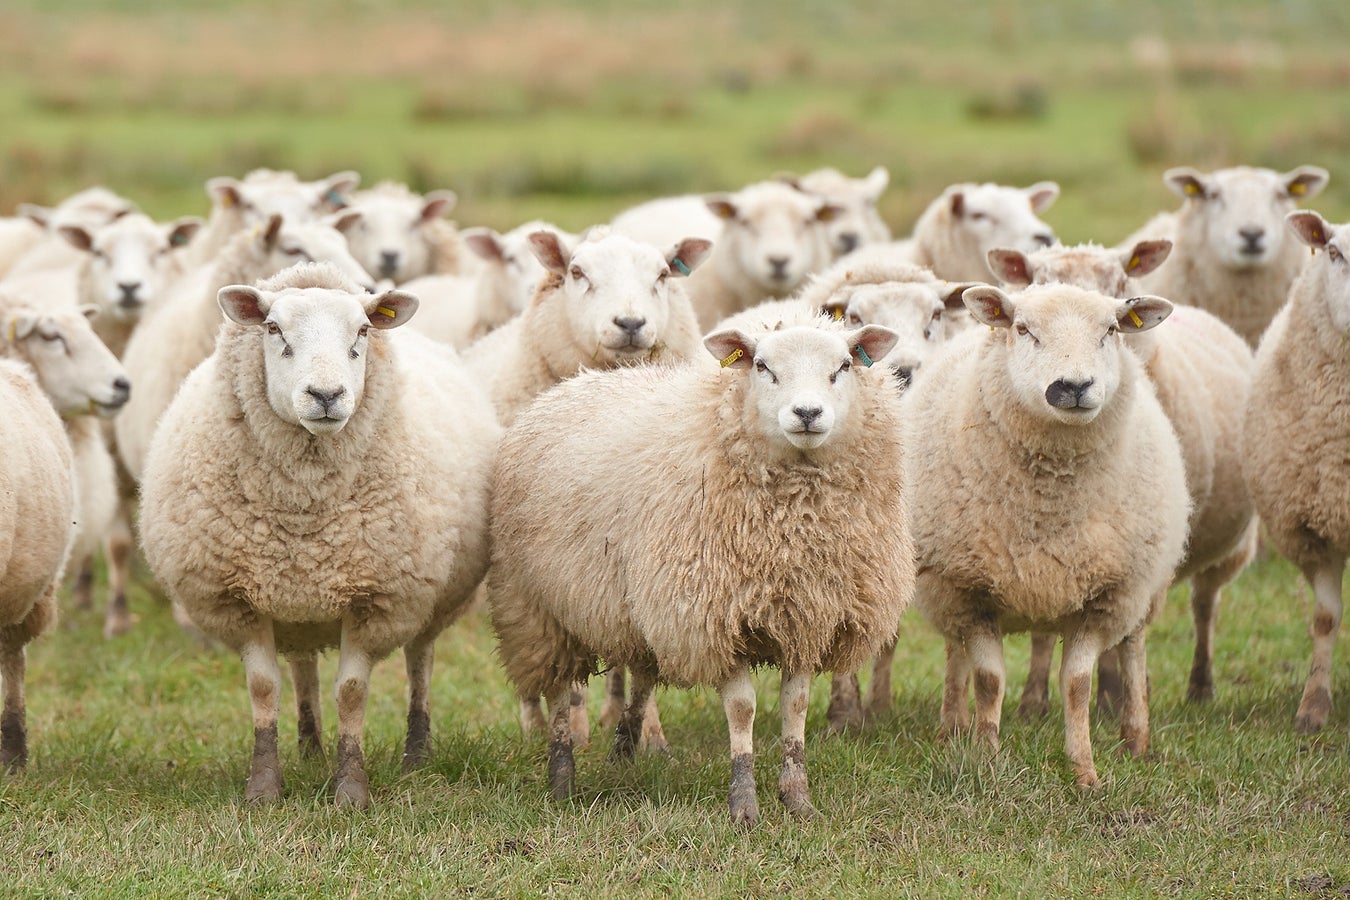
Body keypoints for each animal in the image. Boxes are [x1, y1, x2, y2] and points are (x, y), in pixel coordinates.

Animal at [138, 262, 499, 806]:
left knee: (420, 661)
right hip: (296, 604)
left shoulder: (377, 599)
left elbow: (351, 693)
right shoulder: (240, 598)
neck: (304, 513)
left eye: (364, 331)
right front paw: (264, 786)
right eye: (273, 329)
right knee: (304, 667)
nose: (326, 396)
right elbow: (264, 689)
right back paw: (310, 749)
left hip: (428, 598)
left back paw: (416, 754)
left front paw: (350, 789)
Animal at [487, 319, 910, 825]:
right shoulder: (715, 616)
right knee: (557, 693)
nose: (807, 413)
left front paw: (797, 799)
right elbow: (743, 710)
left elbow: (796, 707)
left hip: (638, 608)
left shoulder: (807, 615)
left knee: (642, 674)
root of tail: (573, 383)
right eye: (762, 366)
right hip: (538, 607)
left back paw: (624, 751)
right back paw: (562, 777)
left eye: (844, 366)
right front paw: (744, 804)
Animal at [907, 283, 1189, 787]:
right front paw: (986, 760)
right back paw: (949, 730)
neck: (1048, 505)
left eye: (1111, 330)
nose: (1073, 387)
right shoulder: (971, 590)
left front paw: (1084, 772)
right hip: (945, 588)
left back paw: (1136, 740)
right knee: (955, 654)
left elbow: (1076, 685)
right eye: (1023, 329)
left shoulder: (1104, 596)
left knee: (1134, 650)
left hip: (1143, 588)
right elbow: (989, 681)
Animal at [986, 241, 1258, 716]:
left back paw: (1199, 686)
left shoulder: (1141, 545)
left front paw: (1114, 696)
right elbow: (1043, 629)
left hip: (1223, 545)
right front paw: (1034, 700)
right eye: (1037, 283)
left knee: (1204, 606)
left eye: (1117, 286)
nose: (1074, 383)